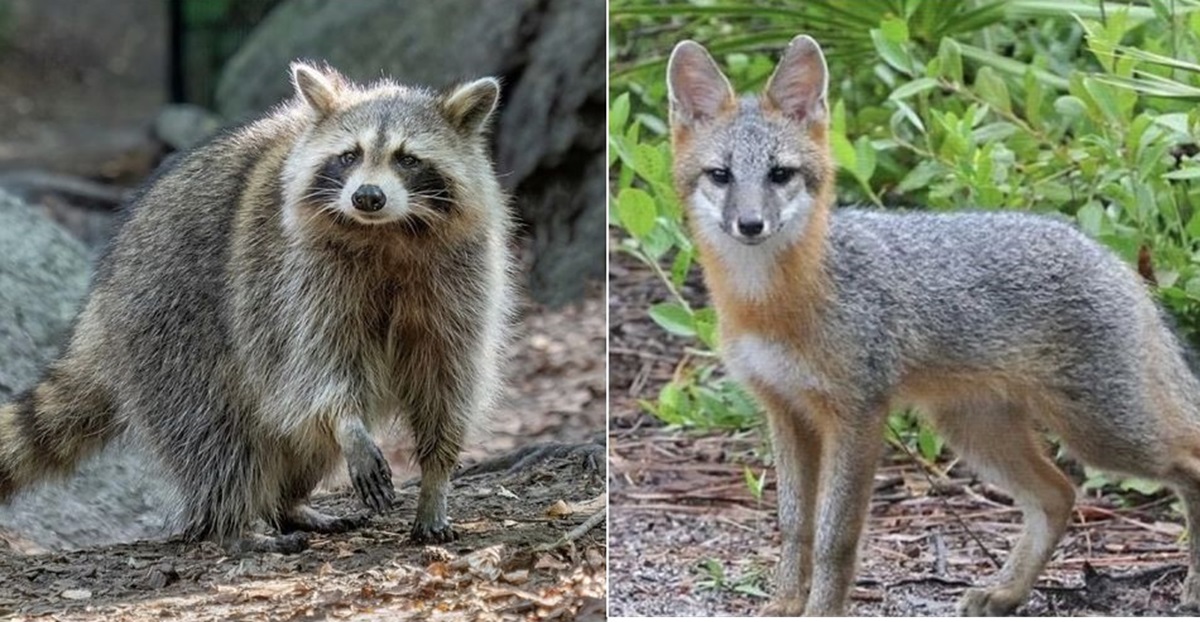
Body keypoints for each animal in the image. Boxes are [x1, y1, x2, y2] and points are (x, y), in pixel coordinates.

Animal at [0, 61, 514, 552]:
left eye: (408, 159)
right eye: (349, 155)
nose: (367, 197)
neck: (387, 232)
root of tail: (101, 300)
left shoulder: (459, 278)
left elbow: (447, 377)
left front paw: (436, 479)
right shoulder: (294, 278)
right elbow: (317, 364)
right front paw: (348, 424)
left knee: (298, 441)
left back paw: (289, 504)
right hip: (168, 323)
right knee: (215, 430)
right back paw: (230, 524)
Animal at [667, 35, 1200, 615]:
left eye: (779, 174)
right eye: (721, 175)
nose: (750, 224)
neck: (772, 301)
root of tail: (1112, 257)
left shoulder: (858, 415)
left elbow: (834, 535)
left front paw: (822, 610)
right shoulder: (785, 411)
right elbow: (792, 525)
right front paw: (786, 605)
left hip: (1107, 433)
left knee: (1186, 461)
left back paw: (1192, 583)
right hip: (977, 430)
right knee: (1058, 494)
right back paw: (1006, 592)